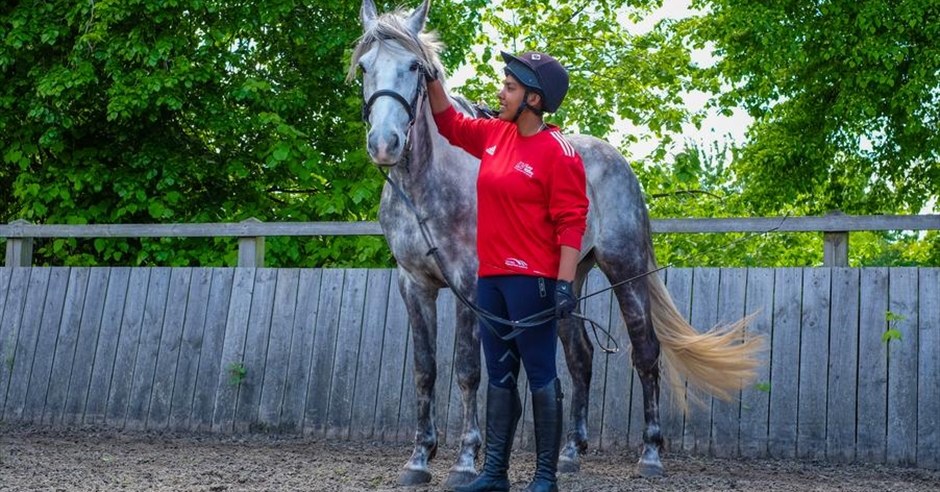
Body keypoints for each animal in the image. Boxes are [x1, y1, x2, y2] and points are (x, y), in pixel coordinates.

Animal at [349, 0, 764, 487]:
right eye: (364, 67)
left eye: (414, 66)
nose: (385, 144)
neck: (426, 184)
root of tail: (619, 163)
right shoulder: (414, 285)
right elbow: (424, 370)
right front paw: (418, 459)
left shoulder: (469, 284)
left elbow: (468, 370)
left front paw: (465, 461)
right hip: (567, 285)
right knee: (581, 356)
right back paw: (569, 452)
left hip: (625, 271)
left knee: (646, 353)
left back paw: (650, 454)